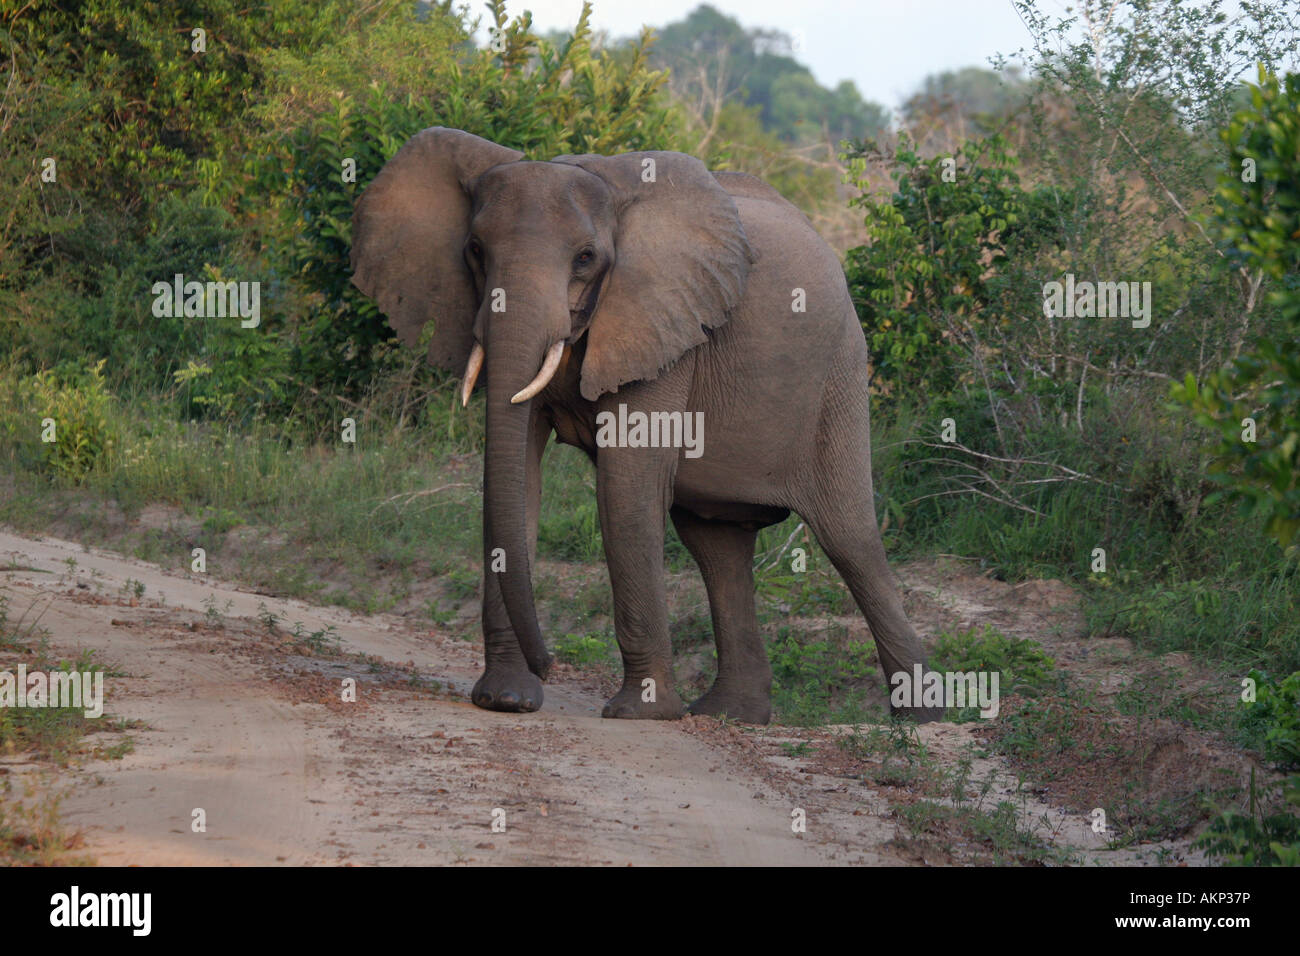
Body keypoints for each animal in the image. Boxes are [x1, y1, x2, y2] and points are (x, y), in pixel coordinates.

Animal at [350, 127, 941, 724]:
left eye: (586, 258)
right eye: (474, 251)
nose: (550, 663)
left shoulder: (667, 328)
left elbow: (625, 490)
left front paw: (639, 713)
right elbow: (517, 480)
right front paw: (506, 700)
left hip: (837, 377)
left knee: (850, 538)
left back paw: (924, 721)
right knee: (717, 545)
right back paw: (730, 714)